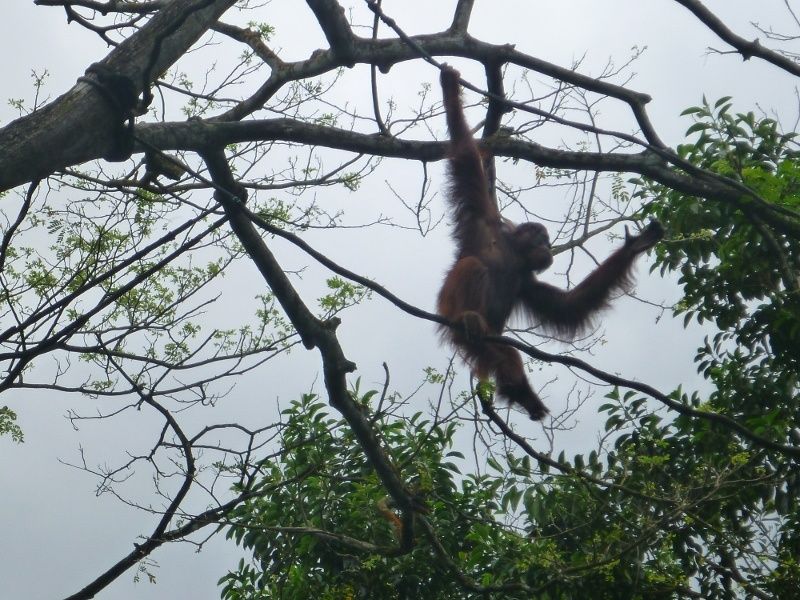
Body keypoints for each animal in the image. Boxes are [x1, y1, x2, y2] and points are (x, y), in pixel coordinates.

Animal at [436, 65, 663, 420]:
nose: (547, 248)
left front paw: (636, 246)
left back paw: (520, 392)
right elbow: (464, 154)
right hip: (448, 309)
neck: (513, 254)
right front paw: (449, 84)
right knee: (474, 268)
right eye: (542, 238)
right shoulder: (482, 217)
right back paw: (468, 319)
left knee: (501, 353)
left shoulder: (527, 283)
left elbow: (566, 307)